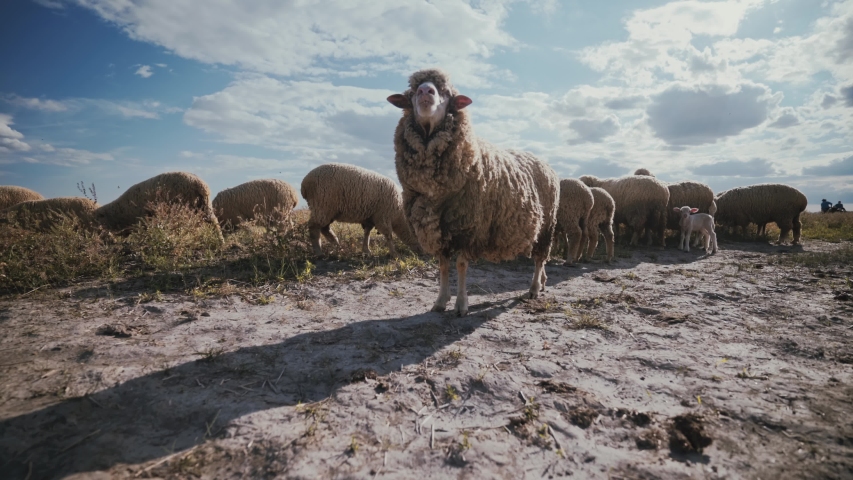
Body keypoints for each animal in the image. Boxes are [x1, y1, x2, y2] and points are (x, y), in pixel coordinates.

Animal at [94, 172, 222, 240]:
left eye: (100, 217)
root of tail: (200, 184)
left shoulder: (142, 220)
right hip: (204, 206)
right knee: (214, 222)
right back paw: (220, 241)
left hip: (186, 208)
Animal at [388, 68, 559, 316]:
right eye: (411, 93)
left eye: (446, 92)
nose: (425, 91)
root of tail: (544, 162)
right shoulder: (440, 228)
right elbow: (442, 265)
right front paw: (440, 301)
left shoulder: (468, 226)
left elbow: (460, 265)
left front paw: (461, 305)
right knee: (542, 260)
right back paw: (543, 283)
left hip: (547, 226)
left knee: (539, 258)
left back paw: (535, 288)